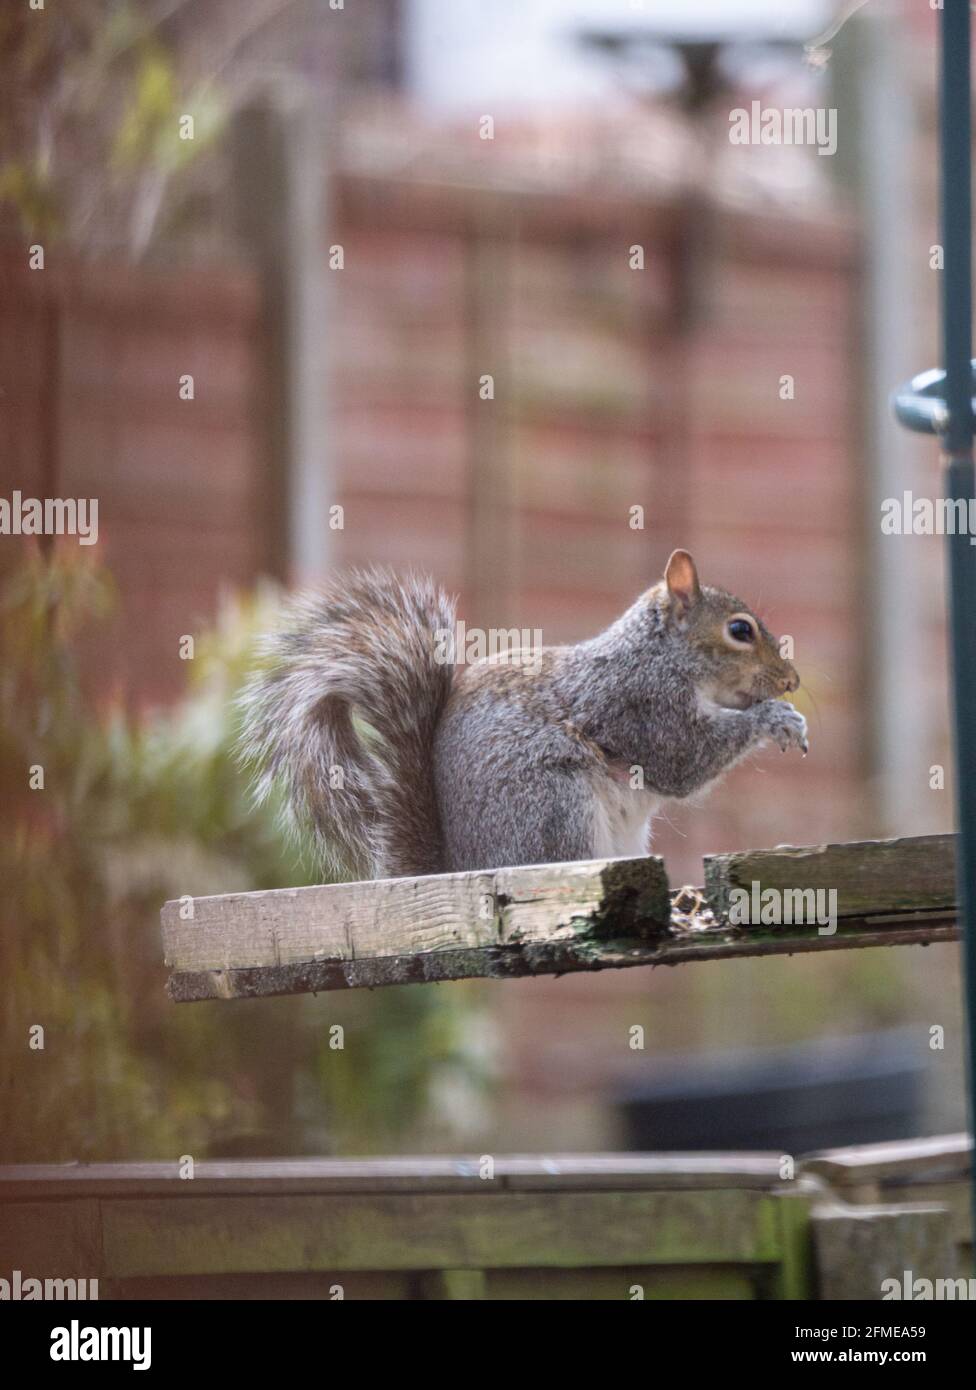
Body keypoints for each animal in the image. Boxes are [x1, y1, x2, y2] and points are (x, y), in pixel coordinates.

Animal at [239, 550, 807, 881]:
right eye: (740, 630)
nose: (792, 681)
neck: (659, 655)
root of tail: (459, 868)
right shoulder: (639, 706)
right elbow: (683, 761)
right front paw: (777, 718)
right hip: (554, 802)